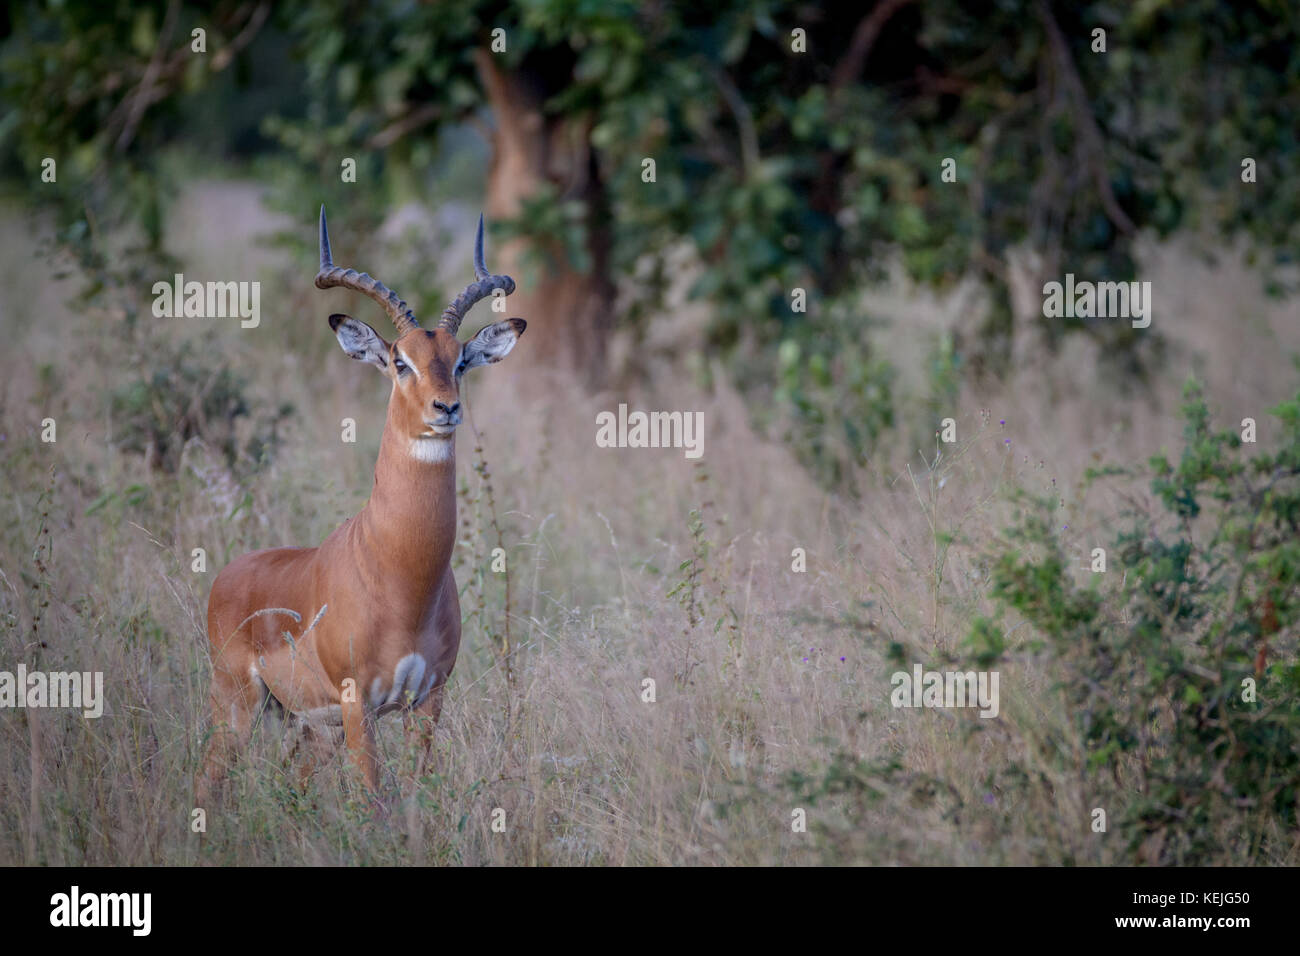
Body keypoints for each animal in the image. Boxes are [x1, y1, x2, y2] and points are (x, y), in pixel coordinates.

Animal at [198, 207, 525, 799]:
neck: (403, 579)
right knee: (205, 781)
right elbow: (375, 801)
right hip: (237, 706)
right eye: (400, 361)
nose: (446, 408)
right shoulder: (359, 706)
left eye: (460, 360)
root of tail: (230, 573)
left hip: (310, 728)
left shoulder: (428, 701)